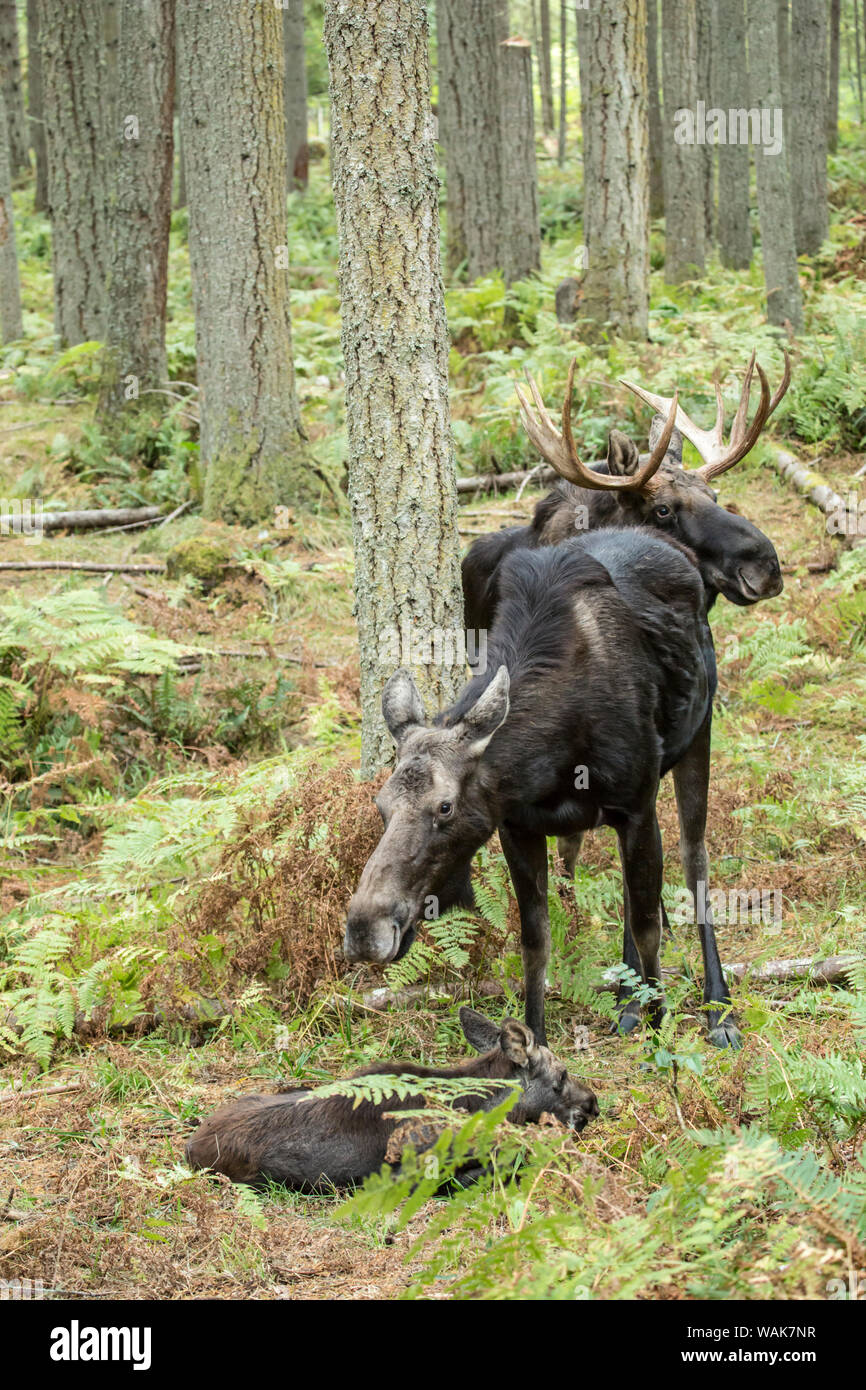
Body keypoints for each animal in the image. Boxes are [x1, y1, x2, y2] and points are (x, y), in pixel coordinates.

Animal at [344, 520, 731, 1048]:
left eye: (445, 807)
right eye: (380, 805)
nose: (365, 929)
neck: (552, 759)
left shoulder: (636, 806)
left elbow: (650, 927)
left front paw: (661, 1037)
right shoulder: (518, 828)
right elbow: (536, 941)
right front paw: (538, 1045)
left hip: (698, 734)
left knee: (695, 861)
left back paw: (718, 1007)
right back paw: (629, 1002)